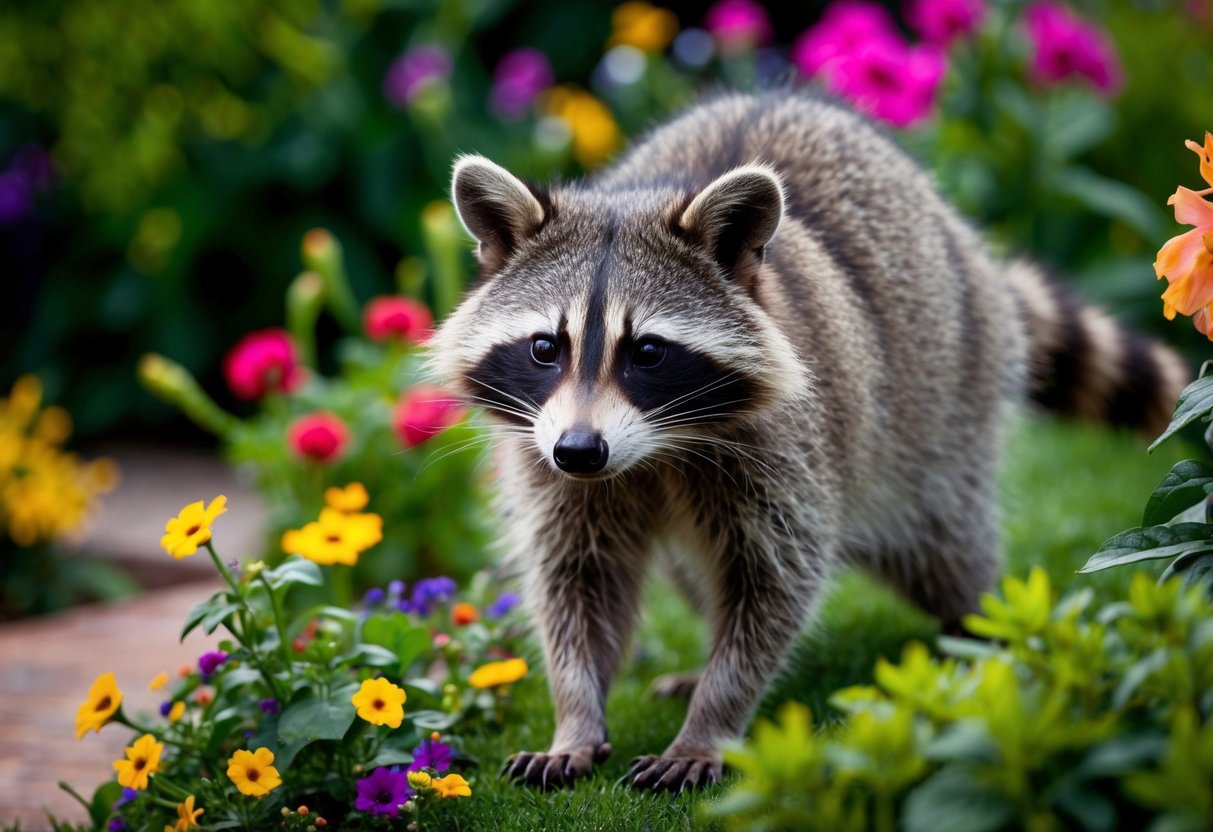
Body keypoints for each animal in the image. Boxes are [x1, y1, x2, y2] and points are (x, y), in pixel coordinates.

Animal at [429, 91, 1188, 792]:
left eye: (646, 352)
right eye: (544, 348)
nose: (581, 452)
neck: (656, 451)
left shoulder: (787, 448)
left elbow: (773, 583)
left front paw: (711, 720)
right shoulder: (546, 454)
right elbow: (575, 584)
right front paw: (577, 715)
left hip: (949, 395)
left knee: (943, 540)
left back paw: (979, 622)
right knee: (694, 572)